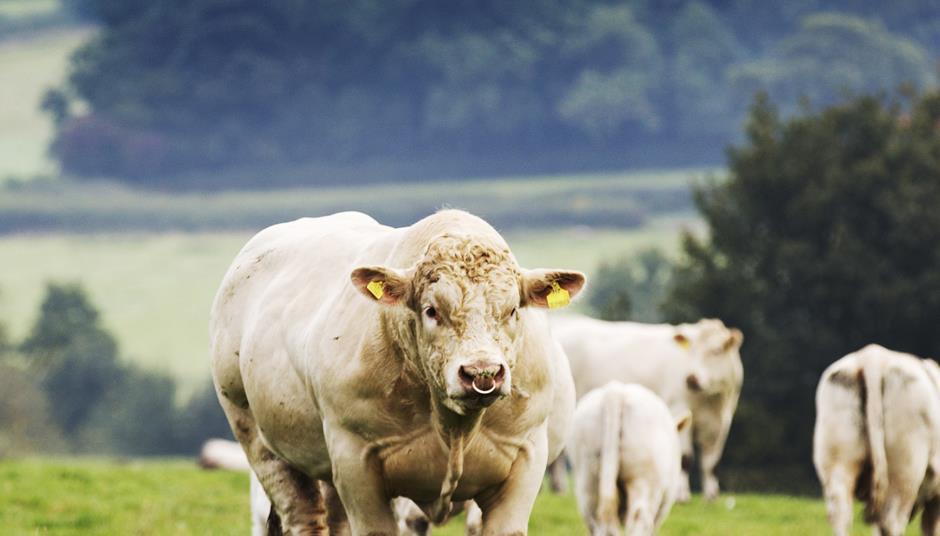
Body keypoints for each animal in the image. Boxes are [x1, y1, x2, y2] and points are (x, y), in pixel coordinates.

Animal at [209, 210, 584, 535]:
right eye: (431, 310)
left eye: (512, 311)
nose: (483, 373)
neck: (455, 427)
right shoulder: (355, 462)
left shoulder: (525, 459)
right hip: (258, 438)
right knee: (303, 516)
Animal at [550, 314, 743, 501]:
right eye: (691, 351)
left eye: (716, 351)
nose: (691, 378)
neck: (712, 401)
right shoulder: (679, 409)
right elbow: (685, 458)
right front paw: (681, 495)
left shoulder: (722, 423)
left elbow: (712, 463)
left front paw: (711, 495)